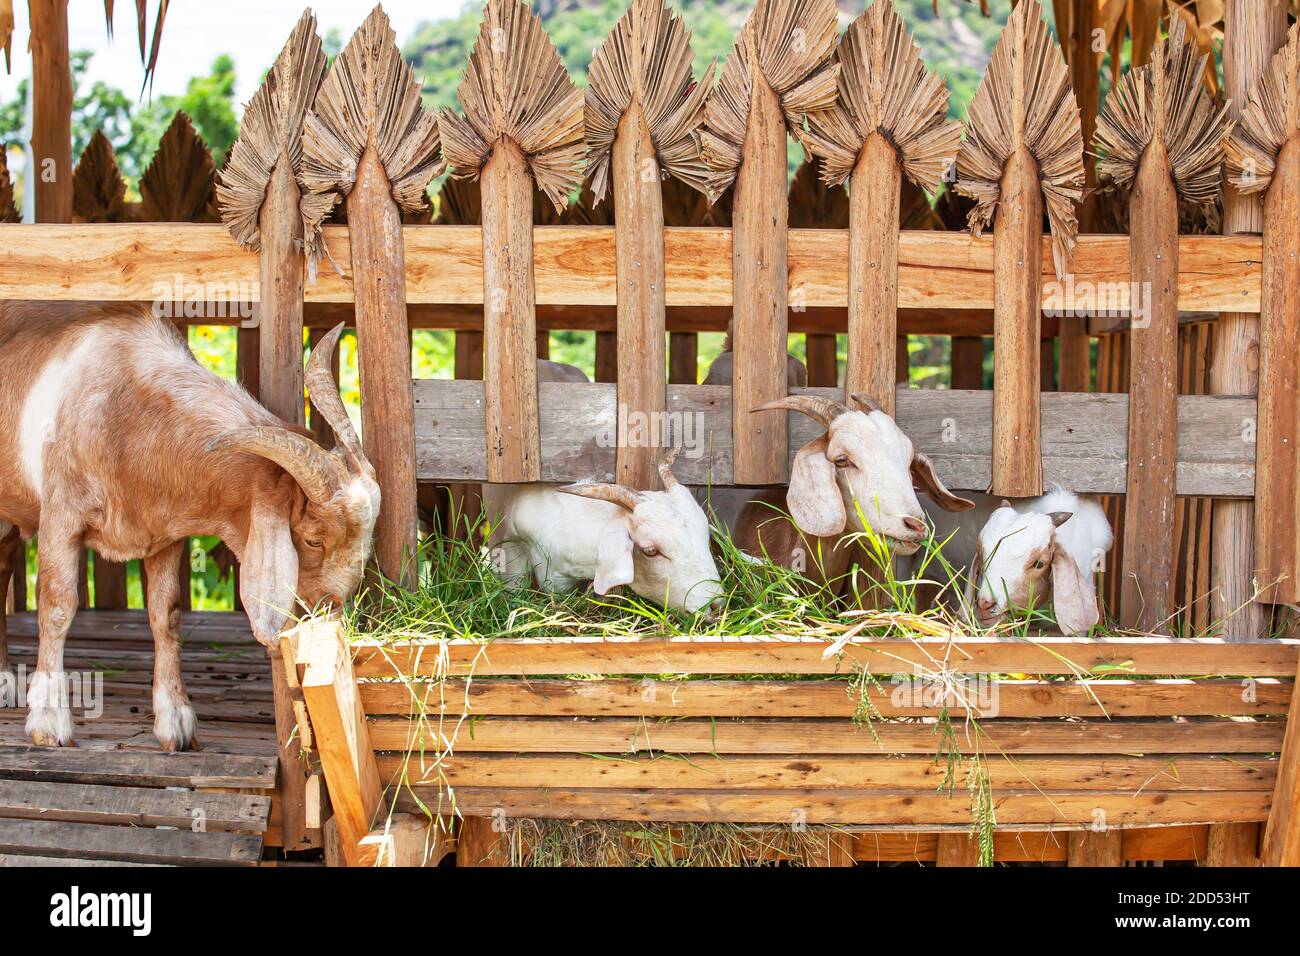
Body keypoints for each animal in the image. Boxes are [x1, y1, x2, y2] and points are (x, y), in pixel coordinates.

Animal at [0, 303, 379, 749]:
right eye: (313, 539)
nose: (327, 613)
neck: (123, 415)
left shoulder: (165, 536)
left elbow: (166, 614)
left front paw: (175, 723)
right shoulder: (61, 516)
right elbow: (58, 606)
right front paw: (49, 723)